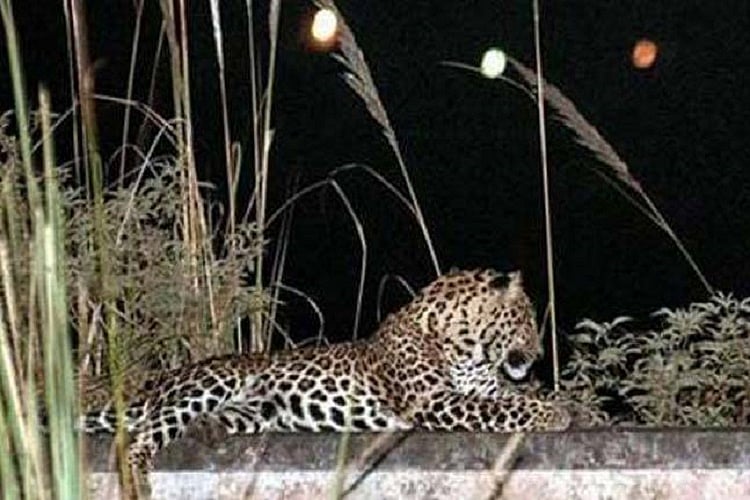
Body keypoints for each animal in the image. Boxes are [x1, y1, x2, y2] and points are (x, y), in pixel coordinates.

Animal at [80, 268, 570, 485]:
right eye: (527, 318)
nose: (540, 353)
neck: (468, 347)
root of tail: (163, 381)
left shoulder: (482, 386)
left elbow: (508, 396)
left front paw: (555, 400)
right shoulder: (436, 402)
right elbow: (504, 407)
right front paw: (555, 412)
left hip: (255, 411)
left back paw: (209, 433)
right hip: (206, 385)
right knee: (138, 441)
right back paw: (141, 485)